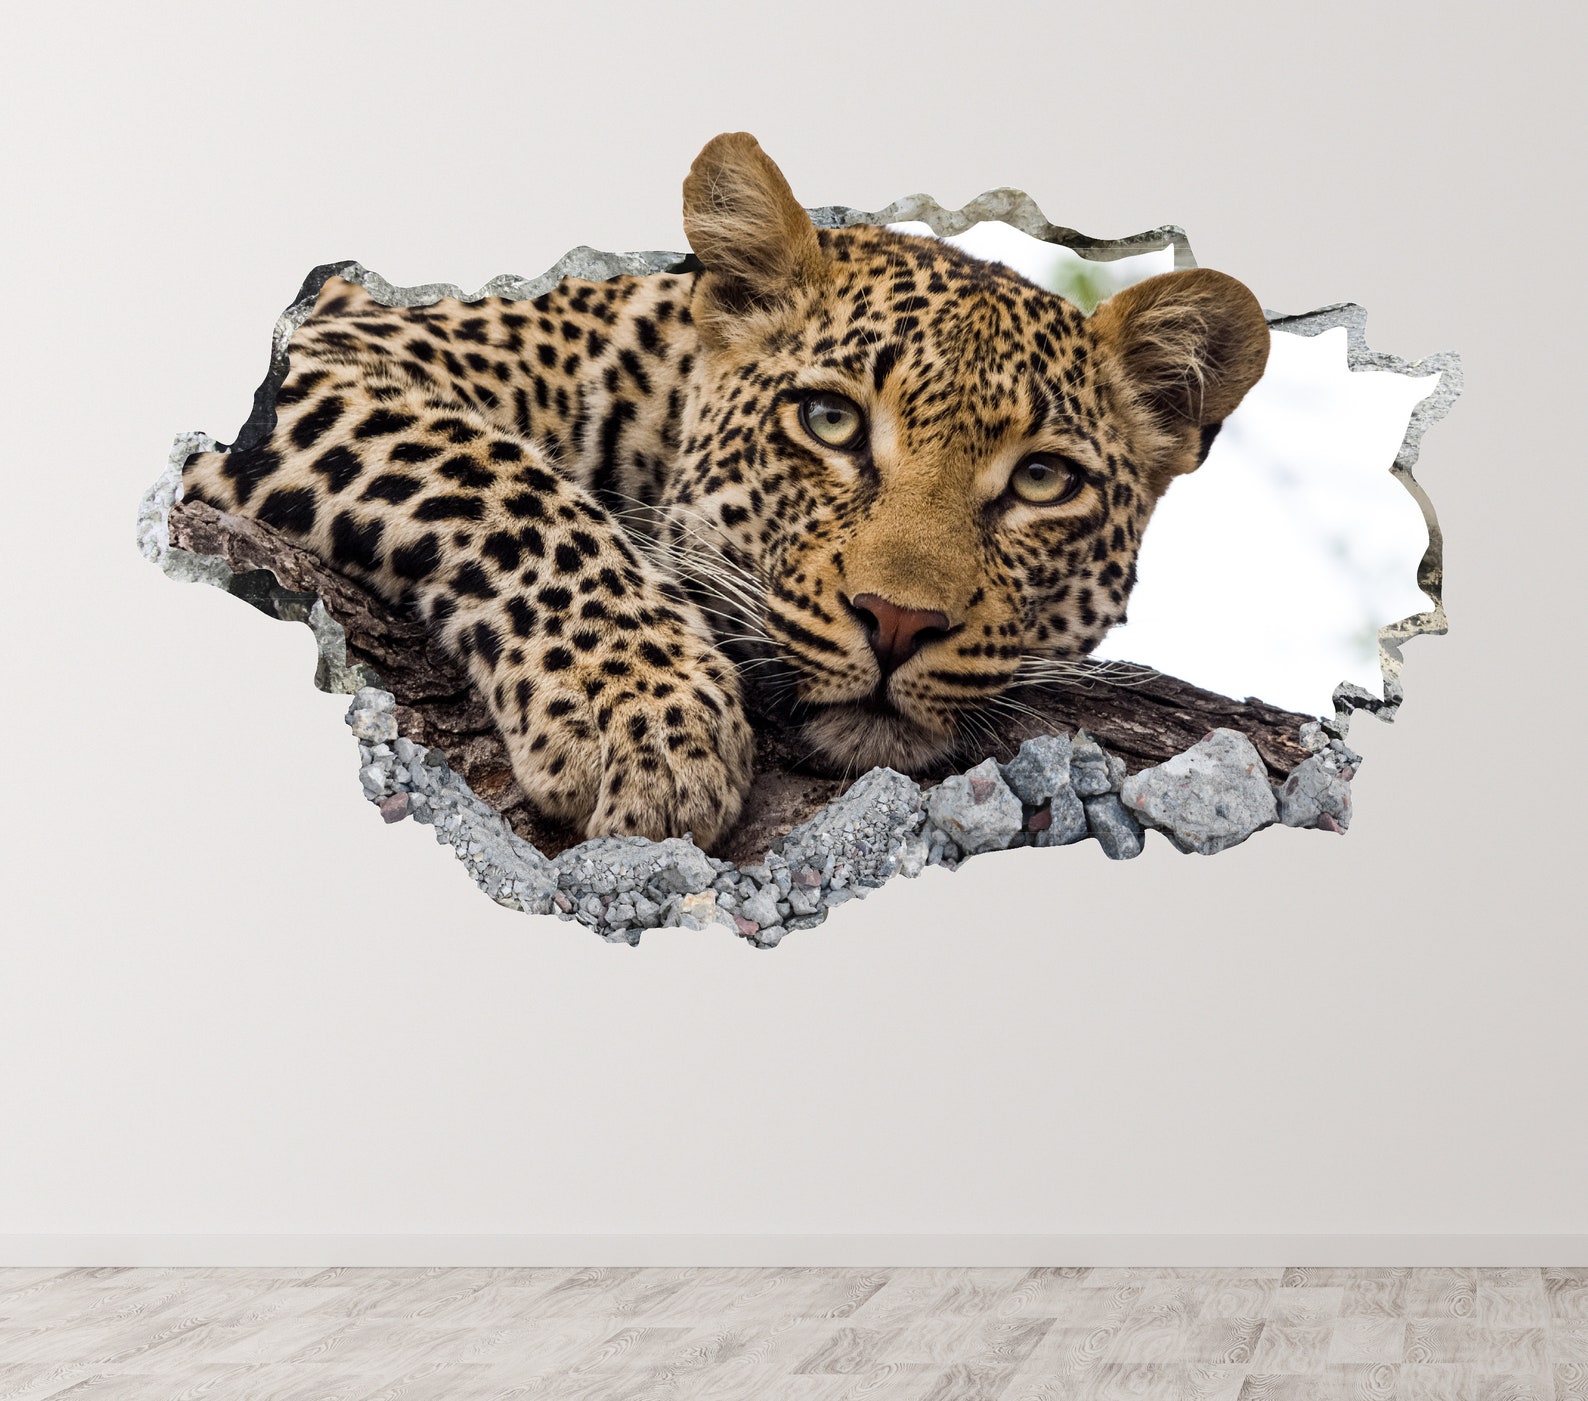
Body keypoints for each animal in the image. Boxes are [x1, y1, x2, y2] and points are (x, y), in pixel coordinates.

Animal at [182, 131, 1271, 851]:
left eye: (1043, 479)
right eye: (829, 422)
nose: (897, 622)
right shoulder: (327, 354)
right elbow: (503, 485)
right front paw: (648, 727)